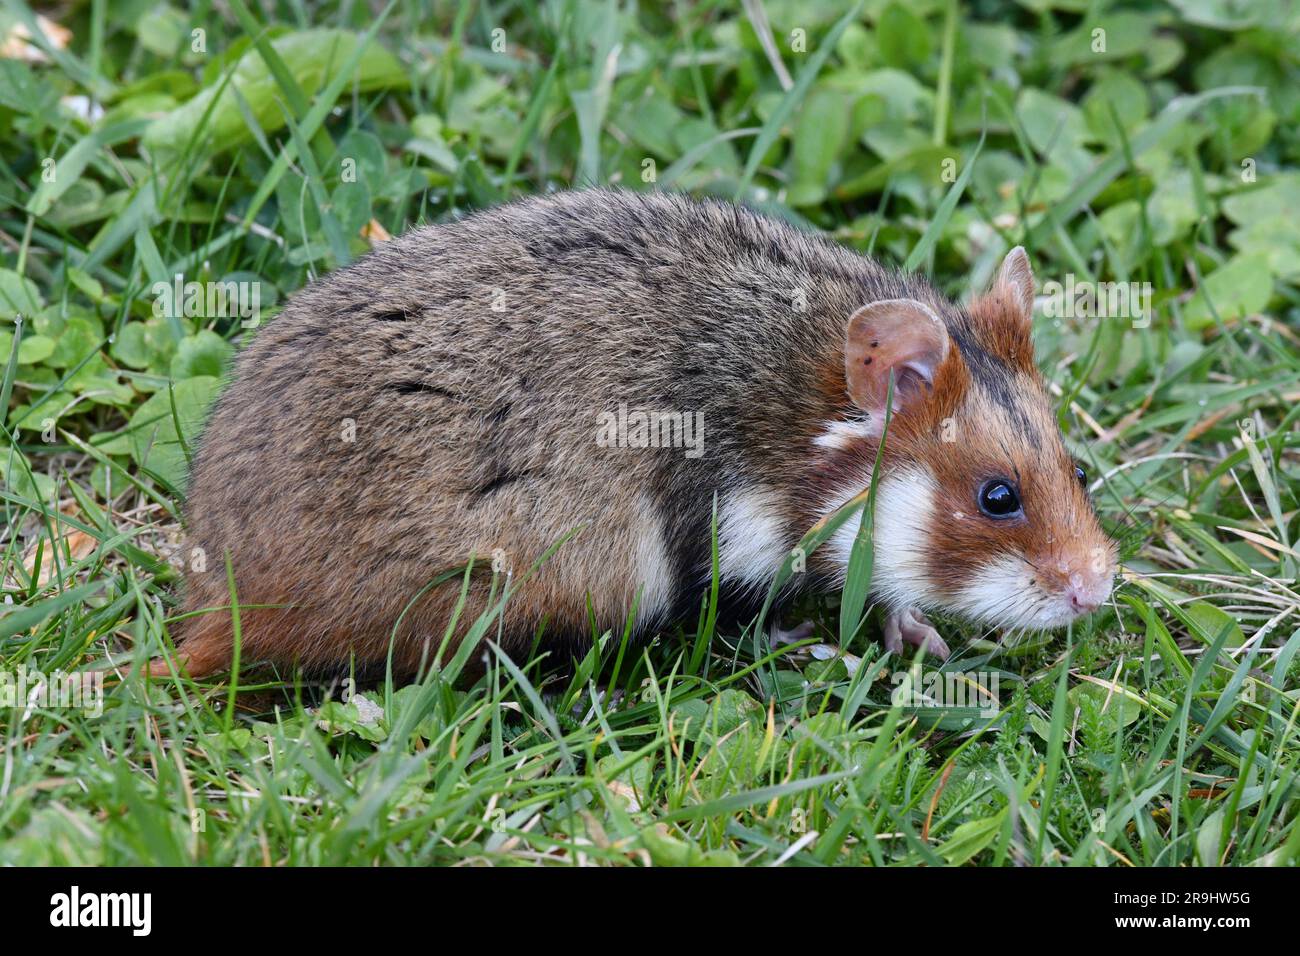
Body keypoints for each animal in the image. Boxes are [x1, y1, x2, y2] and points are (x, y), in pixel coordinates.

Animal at [152, 188, 1116, 680]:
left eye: (1075, 470)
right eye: (998, 497)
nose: (1098, 593)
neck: (797, 418)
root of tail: (212, 616)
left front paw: (914, 632)